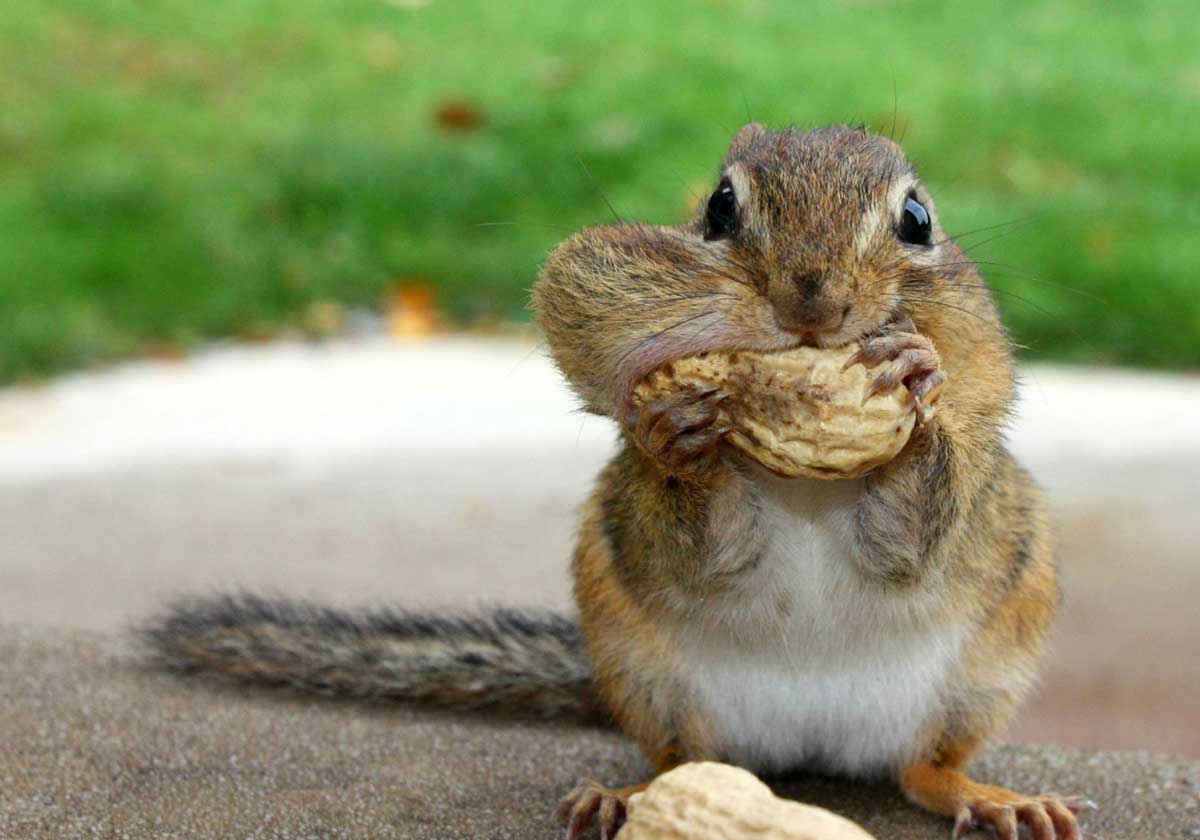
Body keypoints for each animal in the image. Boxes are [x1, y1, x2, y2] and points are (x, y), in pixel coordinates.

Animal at [146, 123, 1091, 840]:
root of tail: (808, 750)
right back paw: (626, 796)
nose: (811, 303)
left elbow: (910, 541)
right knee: (684, 760)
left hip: (983, 674)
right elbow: (708, 546)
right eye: (719, 207)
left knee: (922, 770)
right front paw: (681, 437)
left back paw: (991, 798)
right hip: (644, 671)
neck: (805, 489)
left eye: (918, 219)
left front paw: (915, 384)